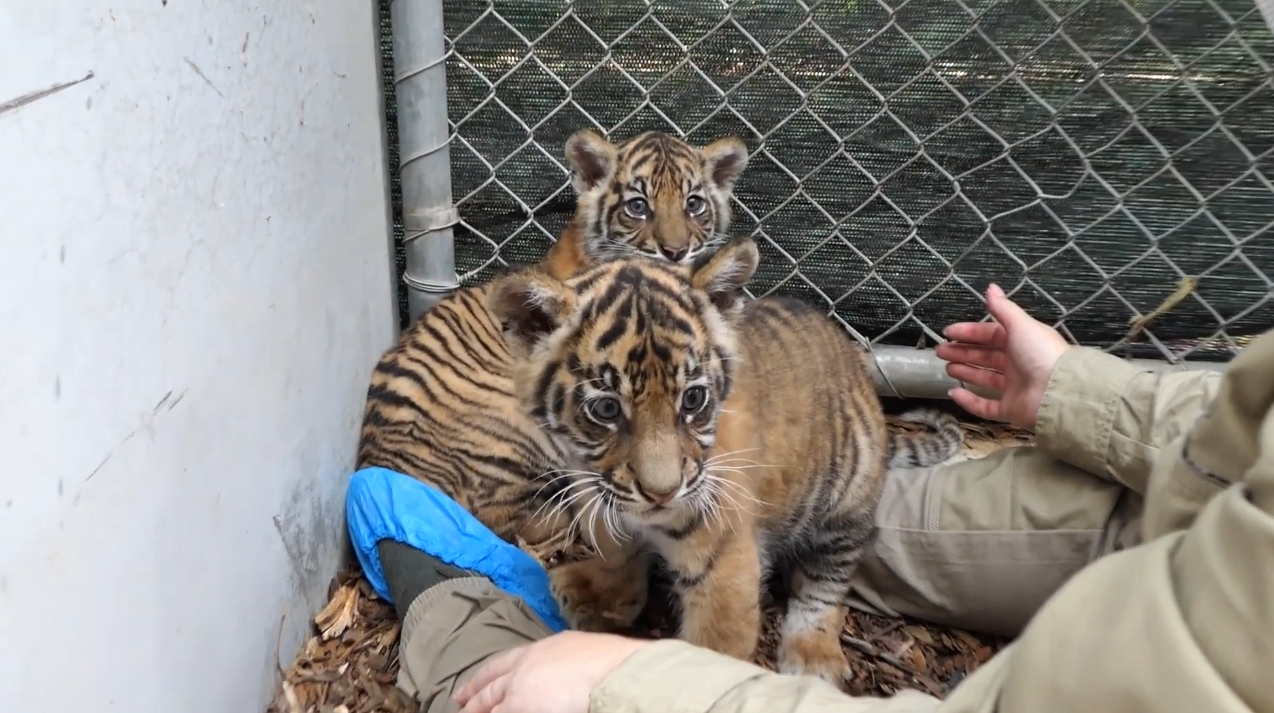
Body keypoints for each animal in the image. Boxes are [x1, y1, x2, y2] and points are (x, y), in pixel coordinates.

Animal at [485, 236, 963, 687]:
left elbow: (710, 656)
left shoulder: (724, 563)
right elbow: (617, 548)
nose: (662, 493)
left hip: (846, 501)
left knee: (827, 581)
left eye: (693, 399)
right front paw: (603, 595)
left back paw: (812, 654)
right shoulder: (596, 492)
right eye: (606, 409)